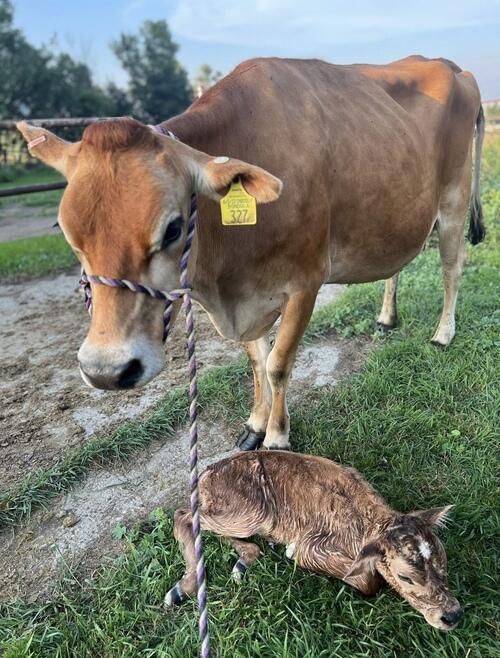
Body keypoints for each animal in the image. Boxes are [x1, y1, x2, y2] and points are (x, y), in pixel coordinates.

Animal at [17, 55, 485, 451]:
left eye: (172, 229)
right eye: (68, 235)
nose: (106, 370)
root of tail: (455, 67)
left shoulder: (305, 283)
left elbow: (278, 363)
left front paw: (277, 437)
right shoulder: (247, 292)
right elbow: (257, 361)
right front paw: (256, 423)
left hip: (455, 199)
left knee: (452, 267)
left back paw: (443, 333)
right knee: (399, 263)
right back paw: (387, 317)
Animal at [164, 450, 463, 631]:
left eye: (445, 563)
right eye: (405, 577)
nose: (452, 615)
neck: (364, 524)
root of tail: (203, 477)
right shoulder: (311, 546)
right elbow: (368, 581)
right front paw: (287, 549)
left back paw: (244, 561)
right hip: (250, 510)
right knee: (182, 514)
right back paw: (182, 588)